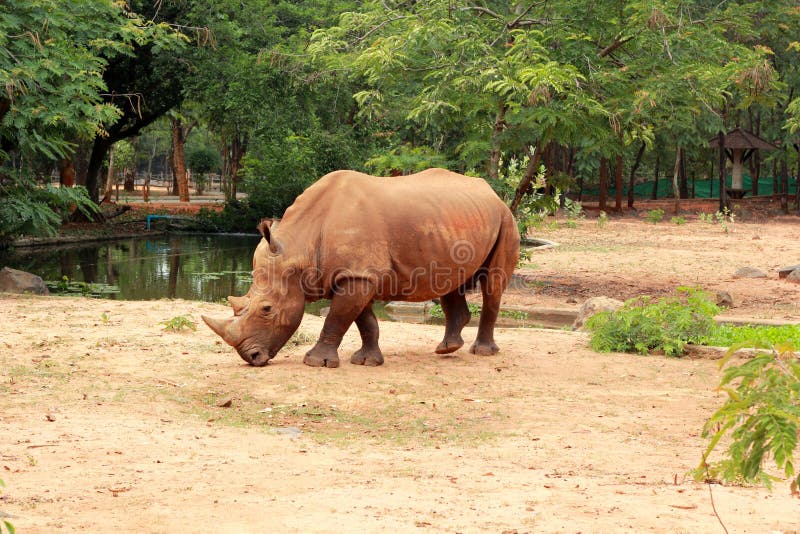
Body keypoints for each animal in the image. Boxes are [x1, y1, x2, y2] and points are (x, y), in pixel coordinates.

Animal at [202, 168, 520, 368]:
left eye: (267, 309)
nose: (251, 357)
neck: (300, 245)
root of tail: (491, 192)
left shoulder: (357, 275)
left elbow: (337, 318)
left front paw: (316, 363)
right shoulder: (355, 275)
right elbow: (364, 321)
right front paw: (366, 361)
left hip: (505, 218)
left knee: (492, 285)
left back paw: (482, 353)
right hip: (455, 221)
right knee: (450, 282)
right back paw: (446, 349)